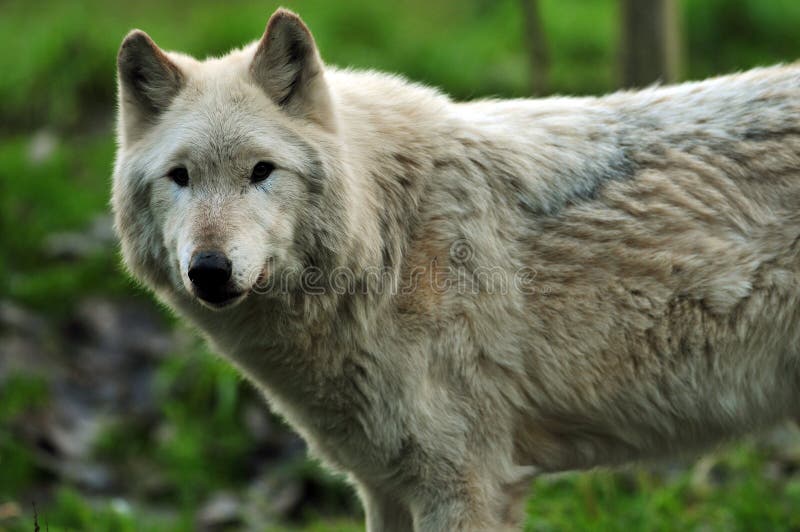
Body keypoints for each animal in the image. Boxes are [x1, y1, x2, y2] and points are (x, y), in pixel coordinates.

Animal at [112, 8, 800, 531]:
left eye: (261, 171)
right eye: (180, 177)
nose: (209, 269)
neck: (389, 241)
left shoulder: (465, 485)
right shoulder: (384, 487)